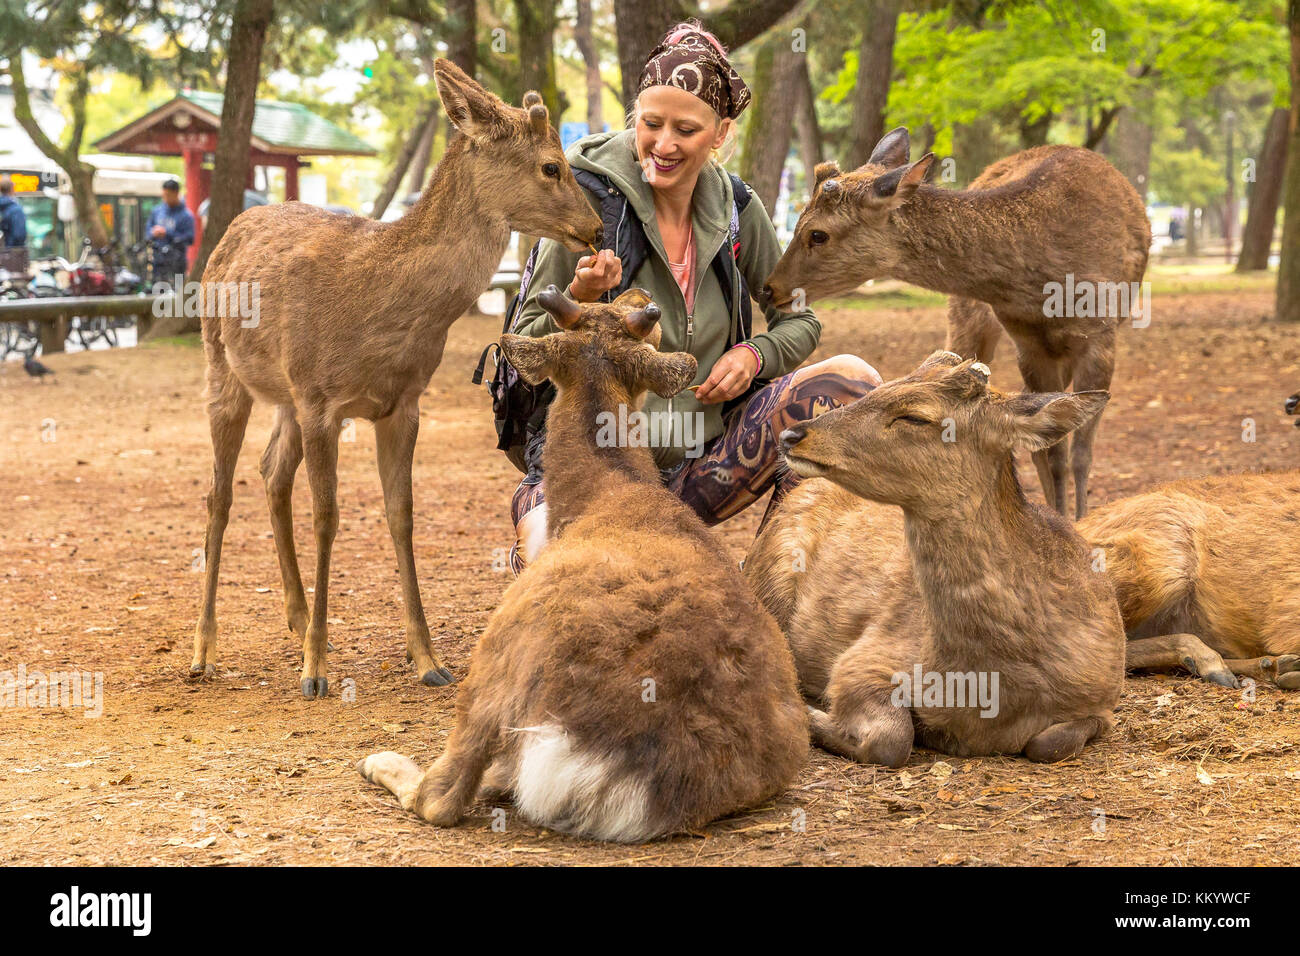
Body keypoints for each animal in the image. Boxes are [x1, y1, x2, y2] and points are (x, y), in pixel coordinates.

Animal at [192, 59, 602, 698]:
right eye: (551, 165)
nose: (597, 227)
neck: (378, 306)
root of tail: (232, 229)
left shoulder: (403, 403)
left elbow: (402, 515)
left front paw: (428, 659)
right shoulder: (320, 399)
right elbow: (328, 518)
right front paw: (316, 672)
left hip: (283, 397)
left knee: (271, 471)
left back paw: (298, 617)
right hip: (222, 367)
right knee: (219, 493)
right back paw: (206, 650)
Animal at [358, 287, 808, 841]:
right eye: (608, 309)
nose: (640, 293)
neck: (606, 492)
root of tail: (629, 776)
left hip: (501, 652)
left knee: (444, 793)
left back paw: (380, 760)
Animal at [744, 350, 1126, 766]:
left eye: (915, 416)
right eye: (879, 388)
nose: (792, 435)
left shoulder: (1104, 698)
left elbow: (1050, 744)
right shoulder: (863, 658)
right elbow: (892, 739)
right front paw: (815, 716)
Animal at [762, 128, 1151, 519]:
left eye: (817, 234)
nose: (768, 288)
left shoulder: (1100, 336)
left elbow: (1081, 452)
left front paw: (1080, 518)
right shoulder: (1027, 342)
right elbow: (1052, 450)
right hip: (967, 319)